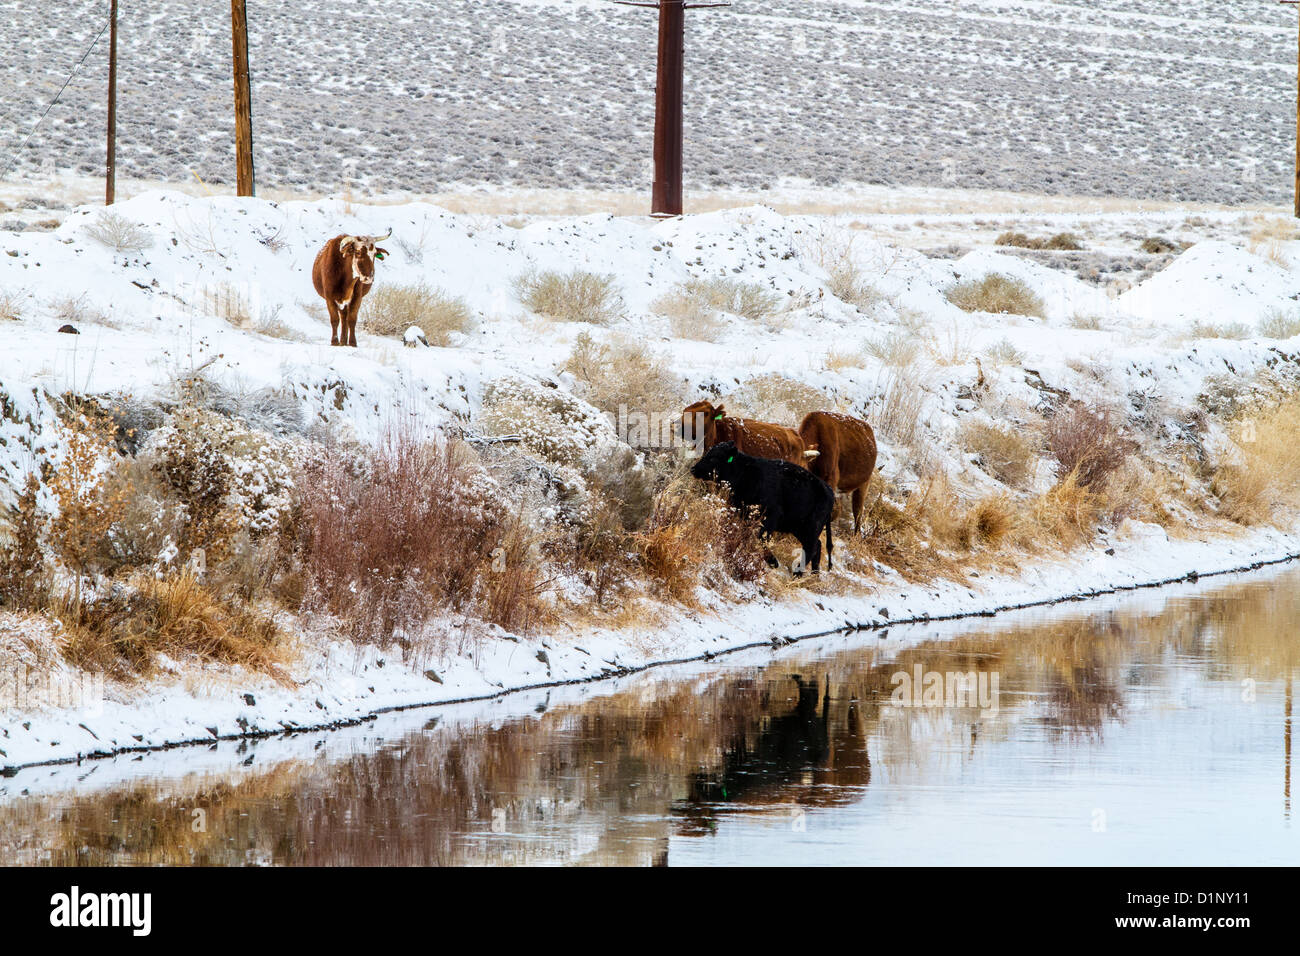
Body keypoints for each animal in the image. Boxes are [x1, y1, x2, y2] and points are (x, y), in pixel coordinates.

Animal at [692, 441, 834, 574]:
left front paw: (773, 562)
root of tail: (828, 490)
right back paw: (814, 575)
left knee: (812, 548)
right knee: (817, 546)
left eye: (713, 457)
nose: (693, 469)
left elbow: (761, 537)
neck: (746, 472)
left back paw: (798, 573)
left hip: (810, 528)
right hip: (799, 528)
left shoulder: (771, 516)